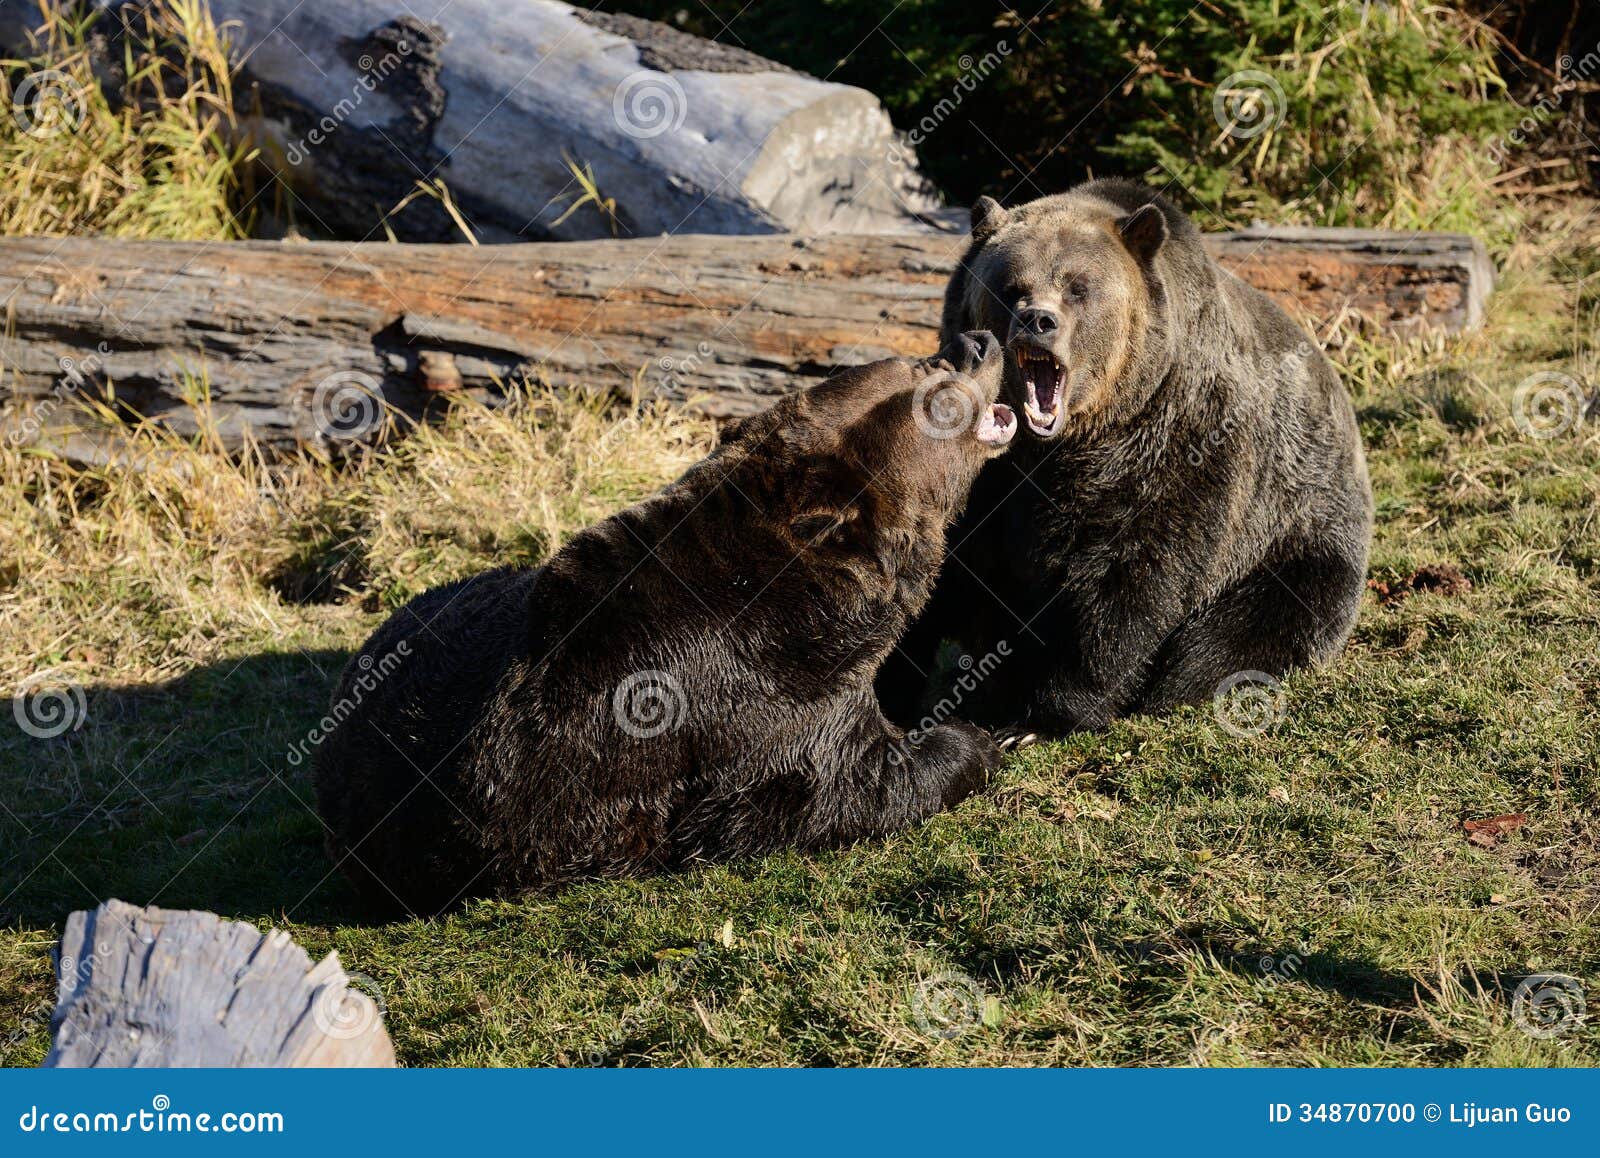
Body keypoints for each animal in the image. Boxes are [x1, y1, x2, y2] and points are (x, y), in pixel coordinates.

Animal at [313, 332, 1018, 916]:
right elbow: (841, 791)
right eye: (928, 377)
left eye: (924, 354)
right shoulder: (763, 697)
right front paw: (977, 740)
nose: (979, 341)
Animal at [878, 179, 1373, 736]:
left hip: (1298, 528)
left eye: (1078, 287)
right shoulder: (985, 479)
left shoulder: (1172, 445)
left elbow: (1135, 577)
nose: (1038, 321)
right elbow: (938, 567)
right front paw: (891, 685)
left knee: (1245, 631)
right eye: (1010, 286)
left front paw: (1041, 718)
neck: (1060, 447)